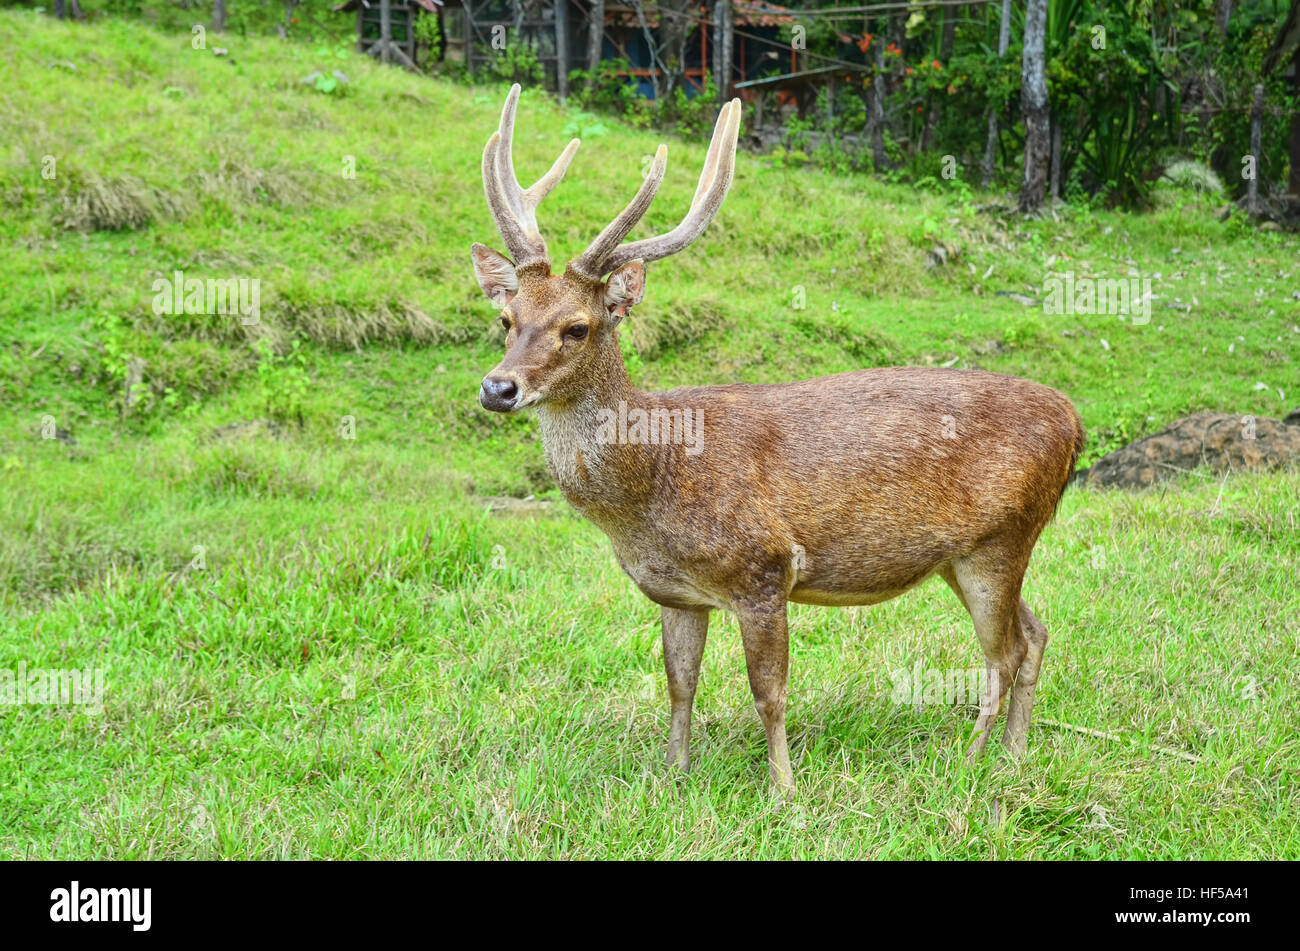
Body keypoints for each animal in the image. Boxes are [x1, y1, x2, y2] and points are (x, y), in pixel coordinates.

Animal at [471, 84, 1085, 797]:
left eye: (577, 327)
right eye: (506, 319)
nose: (498, 388)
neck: (654, 487)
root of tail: (1075, 423)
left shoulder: (762, 568)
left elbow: (768, 692)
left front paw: (783, 790)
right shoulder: (676, 593)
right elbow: (679, 686)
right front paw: (674, 776)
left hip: (1001, 538)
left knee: (1005, 652)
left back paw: (967, 763)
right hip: (967, 557)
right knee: (1036, 632)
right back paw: (1015, 756)